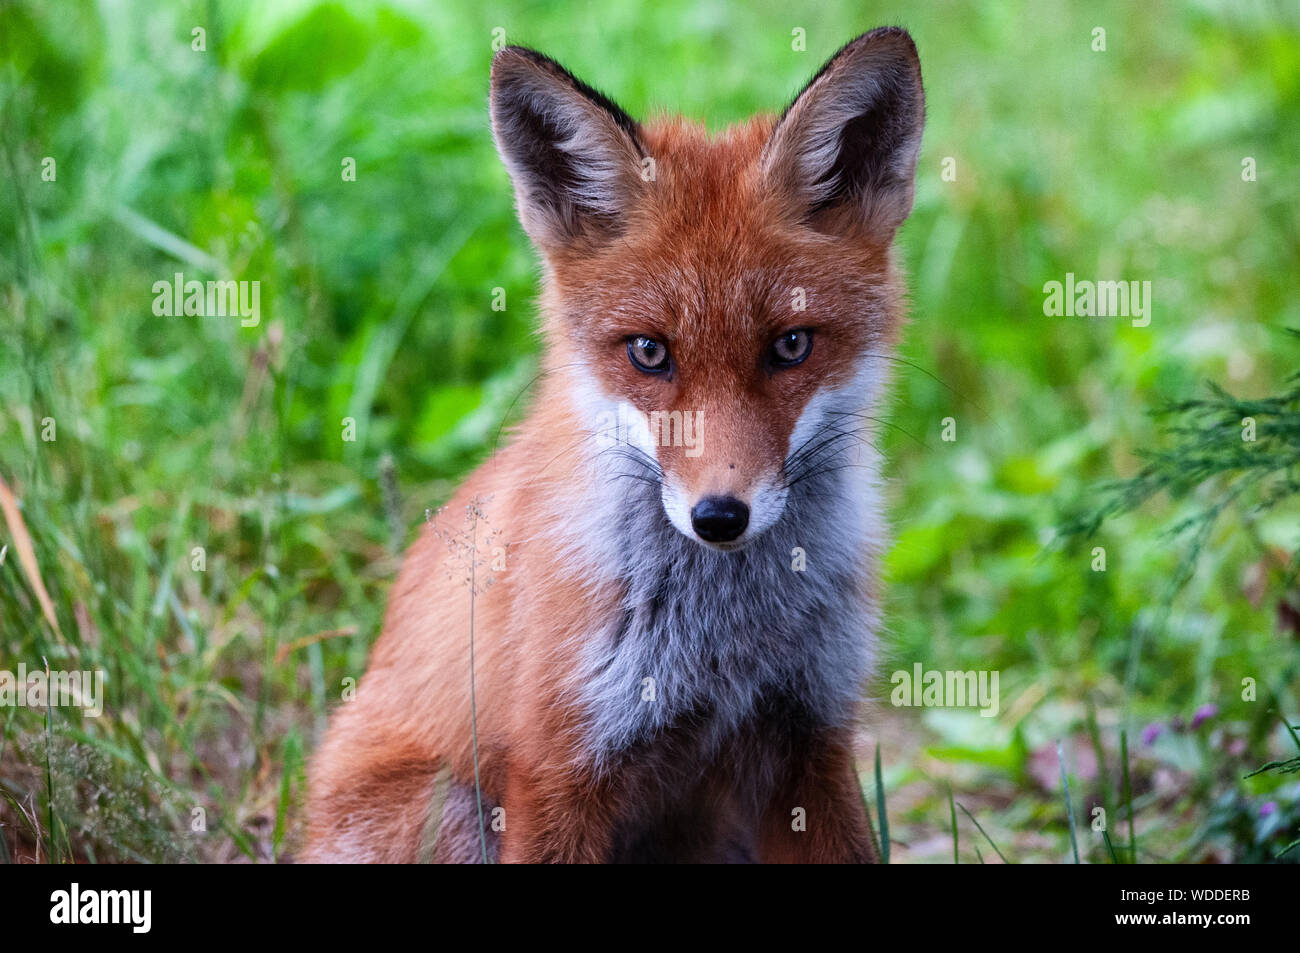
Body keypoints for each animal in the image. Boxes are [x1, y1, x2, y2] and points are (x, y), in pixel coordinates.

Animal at [304, 26, 925, 863]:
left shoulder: (811, 739)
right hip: (457, 810)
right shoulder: (559, 765)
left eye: (791, 345)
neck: (724, 636)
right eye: (649, 352)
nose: (719, 515)